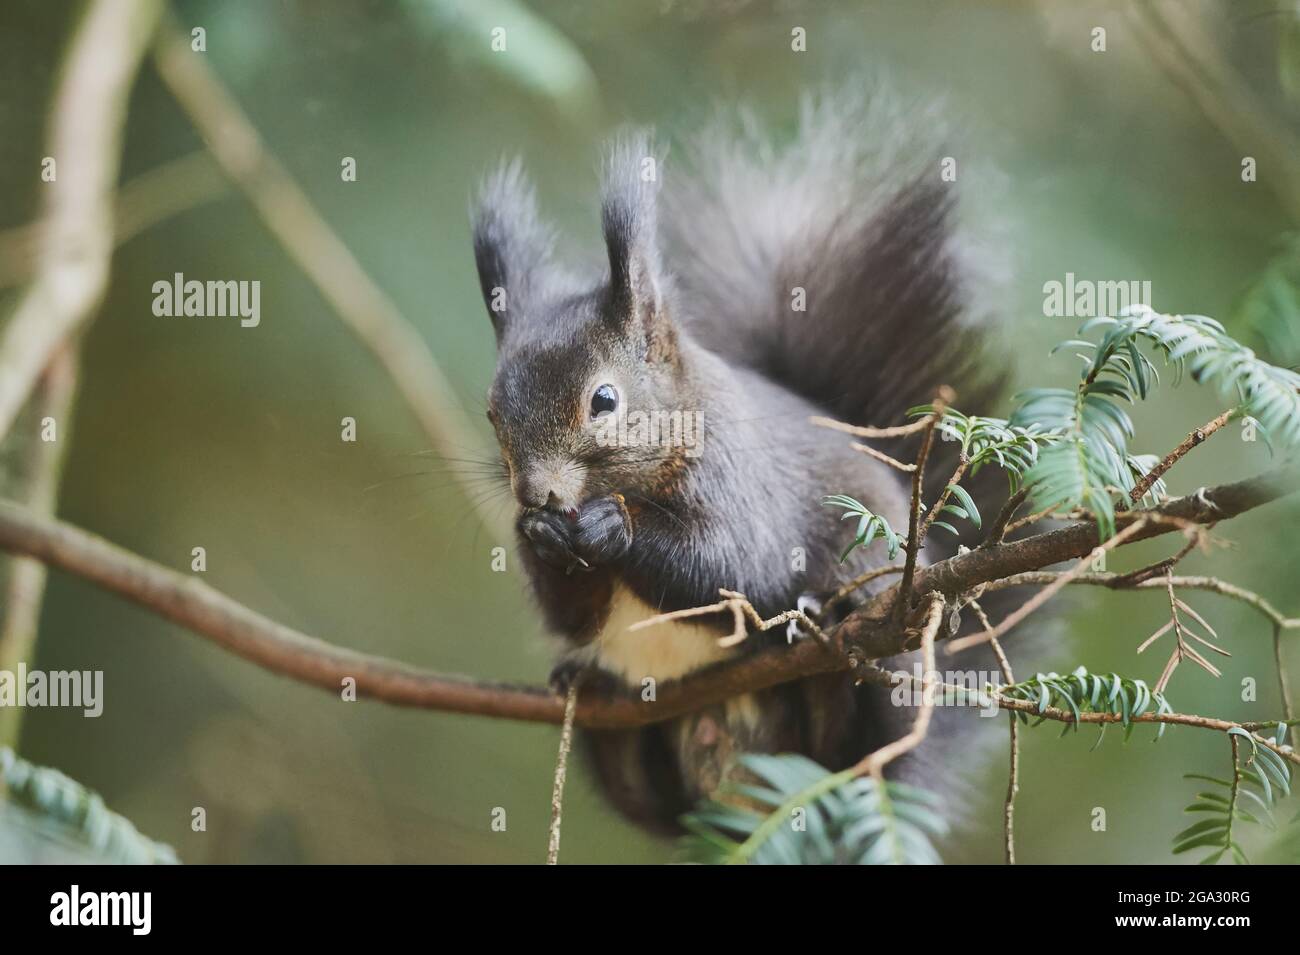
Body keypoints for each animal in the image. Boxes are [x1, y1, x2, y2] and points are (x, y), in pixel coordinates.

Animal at [470, 88, 1013, 832]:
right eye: (493, 414)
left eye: (603, 400)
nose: (537, 495)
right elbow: (570, 618)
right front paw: (543, 541)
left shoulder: (740, 485)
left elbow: (732, 570)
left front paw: (611, 529)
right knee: (647, 801)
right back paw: (588, 684)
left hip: (886, 681)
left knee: (851, 742)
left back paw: (822, 658)